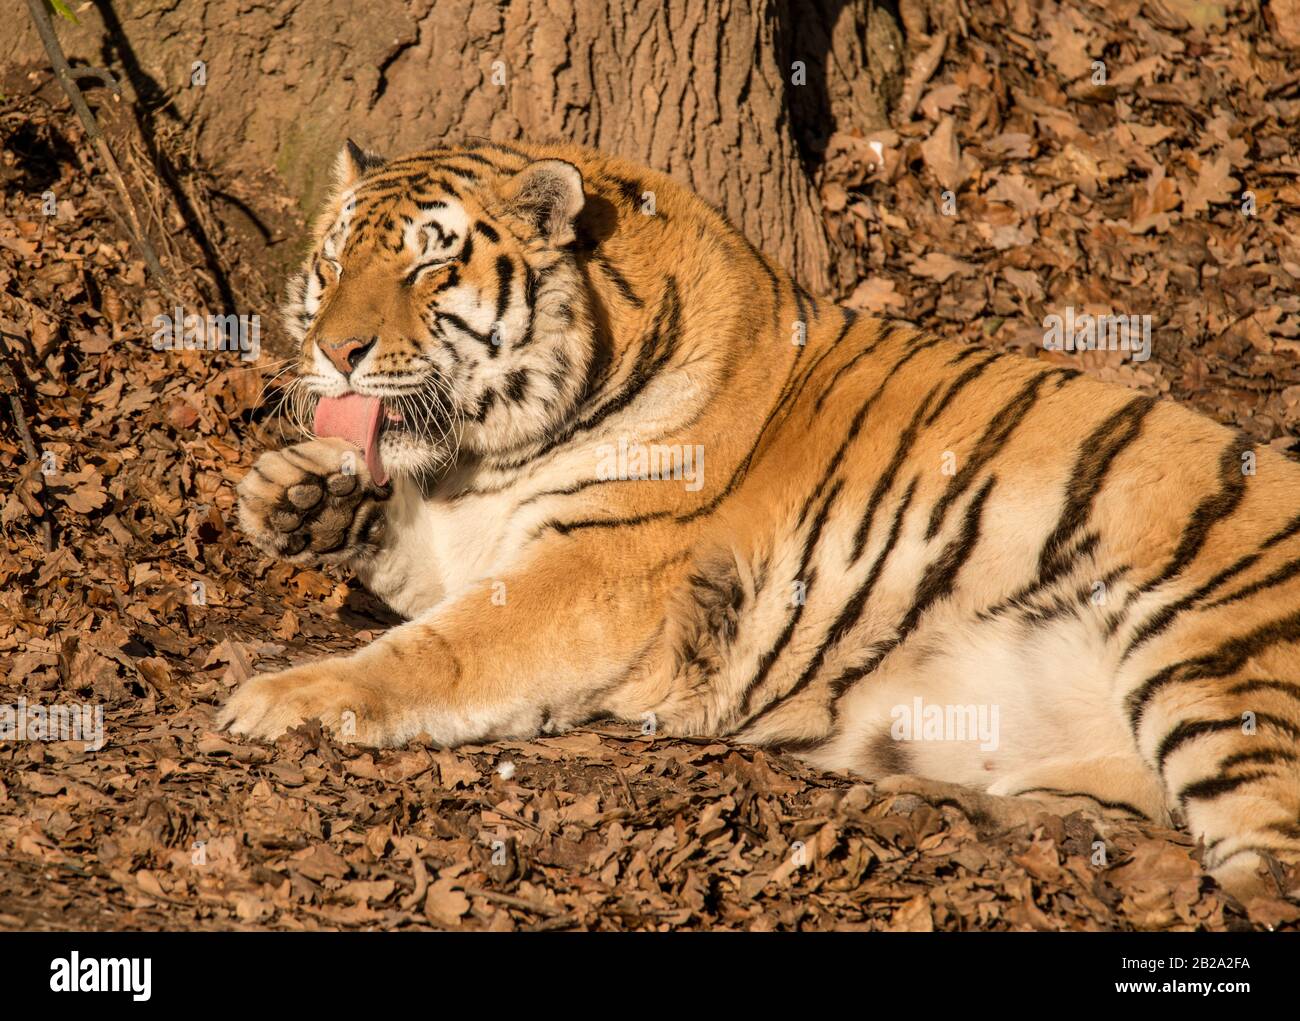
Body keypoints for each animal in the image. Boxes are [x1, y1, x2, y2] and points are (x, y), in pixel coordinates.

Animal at [221, 138, 1300, 901]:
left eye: (427, 271)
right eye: (330, 266)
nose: (335, 353)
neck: (485, 457)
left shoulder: (594, 574)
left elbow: (435, 651)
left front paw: (282, 699)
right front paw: (297, 493)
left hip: (1214, 655)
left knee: (1267, 867)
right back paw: (946, 806)